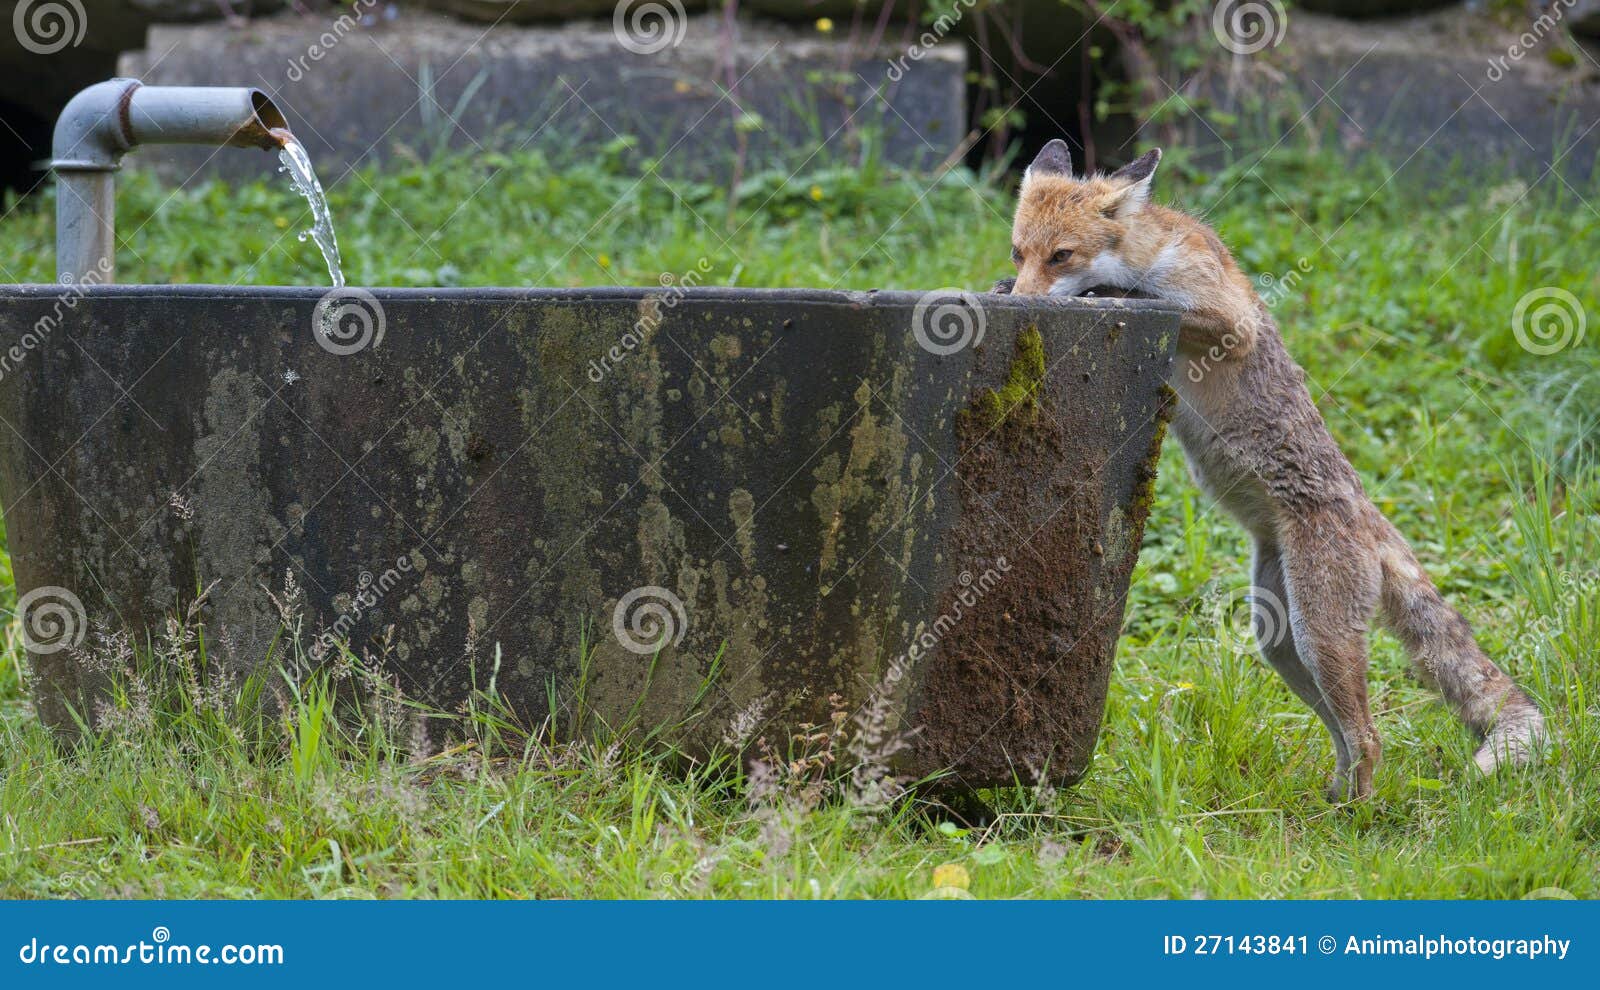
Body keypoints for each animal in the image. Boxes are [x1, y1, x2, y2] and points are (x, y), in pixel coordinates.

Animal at [996, 139, 1545, 800]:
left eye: (1063, 255)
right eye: (1019, 252)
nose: (1017, 298)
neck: (1144, 258)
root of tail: (1374, 520)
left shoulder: (1228, 317)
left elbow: (1151, 302)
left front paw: (1101, 297)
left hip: (1320, 635)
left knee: (1370, 737)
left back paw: (1352, 815)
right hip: (1281, 640)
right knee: (1347, 734)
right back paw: (1333, 797)